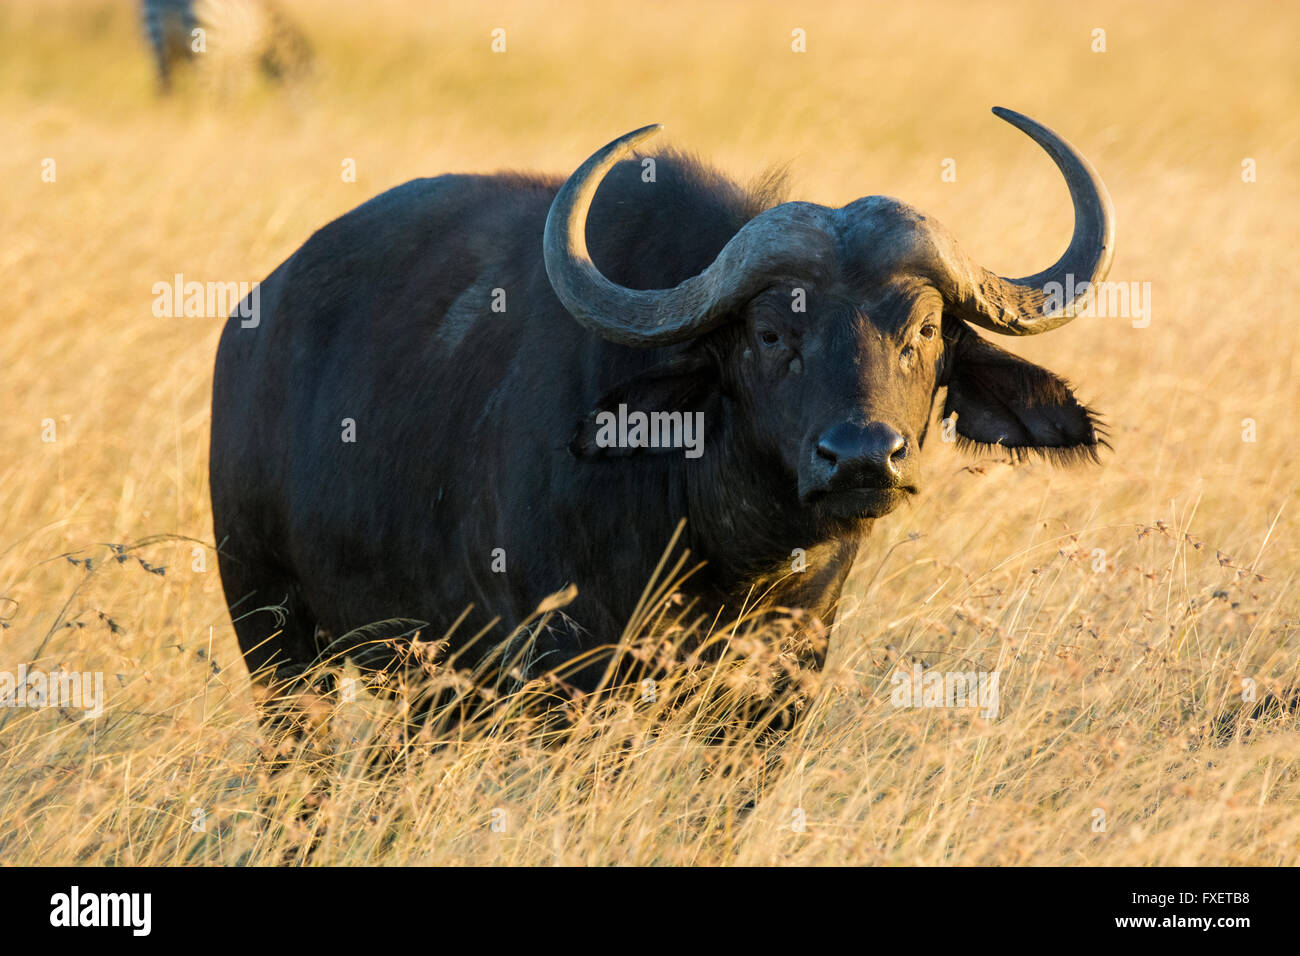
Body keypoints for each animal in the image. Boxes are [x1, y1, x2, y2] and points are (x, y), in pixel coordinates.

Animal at [210, 107, 1114, 720]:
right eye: (770, 332)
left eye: (923, 331)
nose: (862, 456)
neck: (726, 550)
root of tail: (256, 315)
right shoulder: (568, 677)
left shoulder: (781, 688)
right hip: (276, 639)